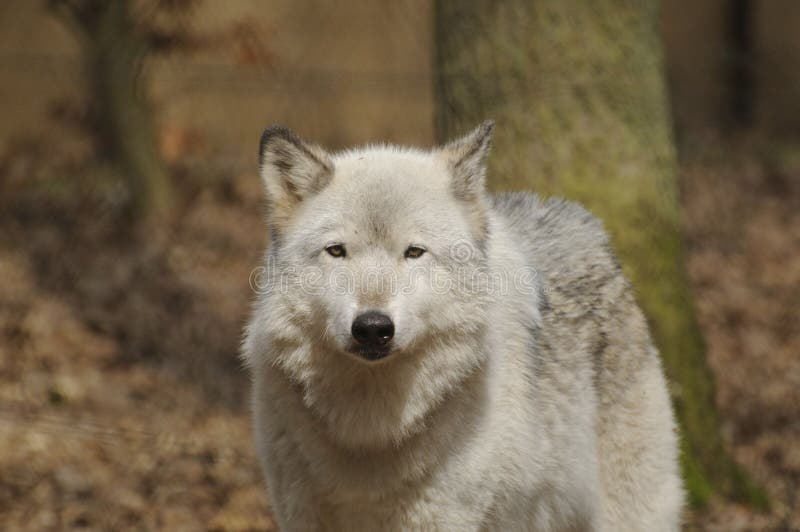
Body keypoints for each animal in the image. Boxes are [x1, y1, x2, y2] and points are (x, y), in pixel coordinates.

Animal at [242, 121, 683, 531]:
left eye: (414, 252)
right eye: (336, 251)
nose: (372, 327)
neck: (371, 429)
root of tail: (585, 222)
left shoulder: (442, 517)